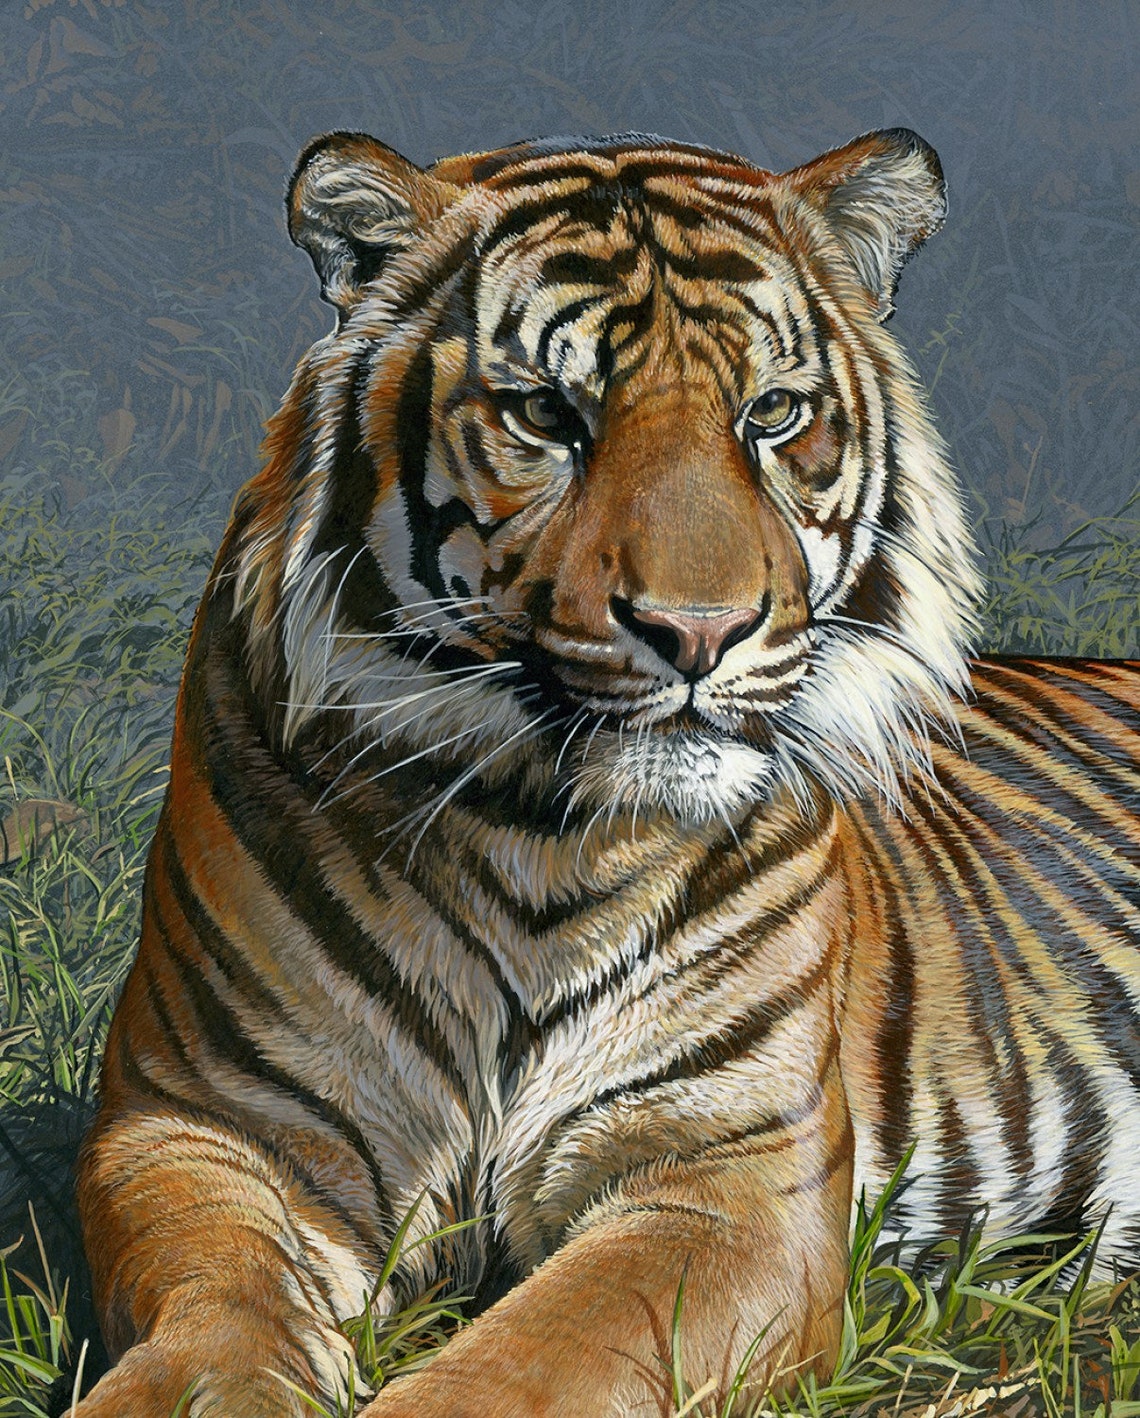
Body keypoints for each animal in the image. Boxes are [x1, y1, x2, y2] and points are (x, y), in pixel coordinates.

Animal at [73, 125, 1140, 1418]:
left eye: (773, 414)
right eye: (547, 412)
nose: (698, 632)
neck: (533, 833)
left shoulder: (727, 1175)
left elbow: (526, 1361)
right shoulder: (210, 1121)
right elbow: (216, 1325)